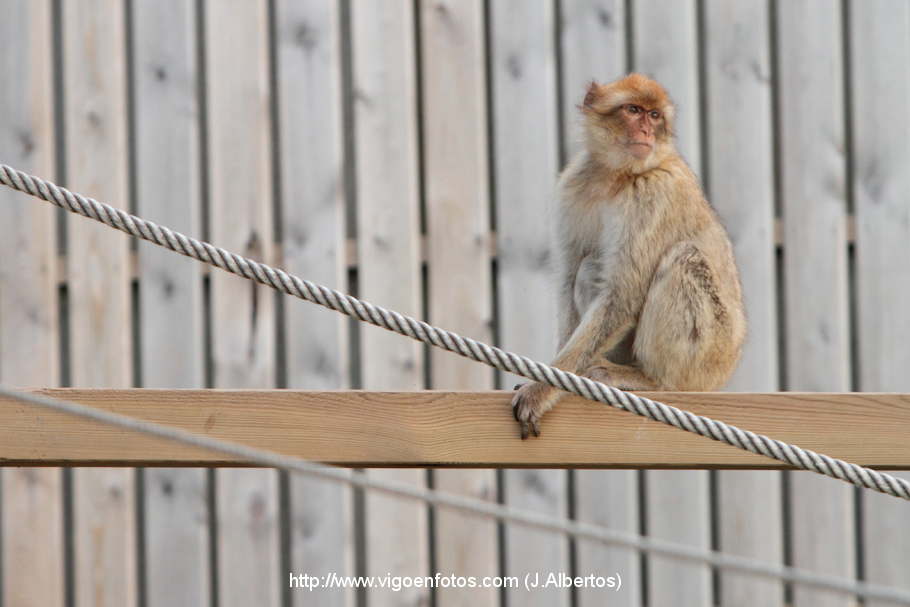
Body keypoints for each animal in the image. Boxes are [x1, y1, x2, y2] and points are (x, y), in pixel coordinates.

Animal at [512, 73, 746, 440]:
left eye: (655, 116)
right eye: (634, 110)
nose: (647, 131)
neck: (616, 176)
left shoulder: (651, 194)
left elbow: (623, 295)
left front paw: (541, 390)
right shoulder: (573, 186)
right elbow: (569, 278)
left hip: (708, 357)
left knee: (684, 258)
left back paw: (655, 380)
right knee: (589, 268)